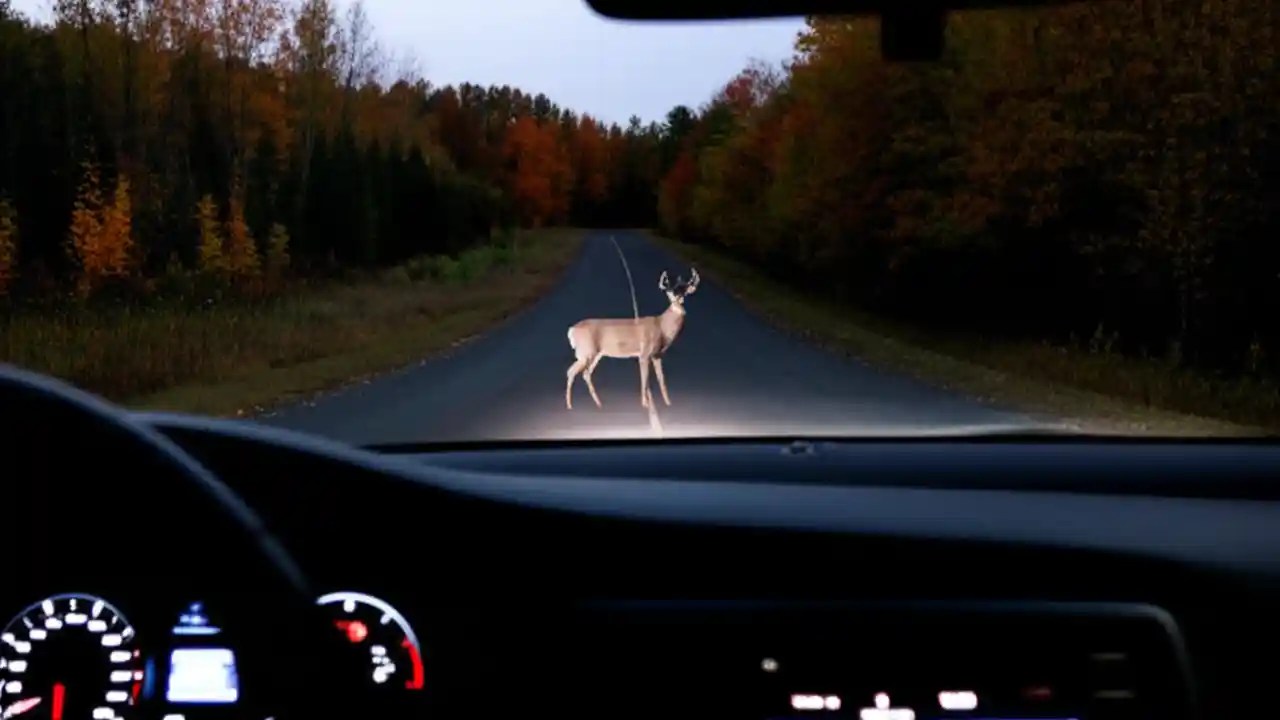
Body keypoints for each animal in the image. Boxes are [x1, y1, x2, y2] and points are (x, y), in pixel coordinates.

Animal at [566, 268, 700, 410]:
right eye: (672, 293)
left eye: (684, 291)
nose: (679, 305)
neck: (661, 327)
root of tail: (572, 330)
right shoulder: (644, 354)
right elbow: (645, 379)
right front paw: (645, 404)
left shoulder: (657, 355)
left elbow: (662, 379)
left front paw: (668, 403)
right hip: (586, 352)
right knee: (571, 371)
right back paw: (569, 405)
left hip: (595, 354)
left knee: (586, 374)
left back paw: (599, 404)